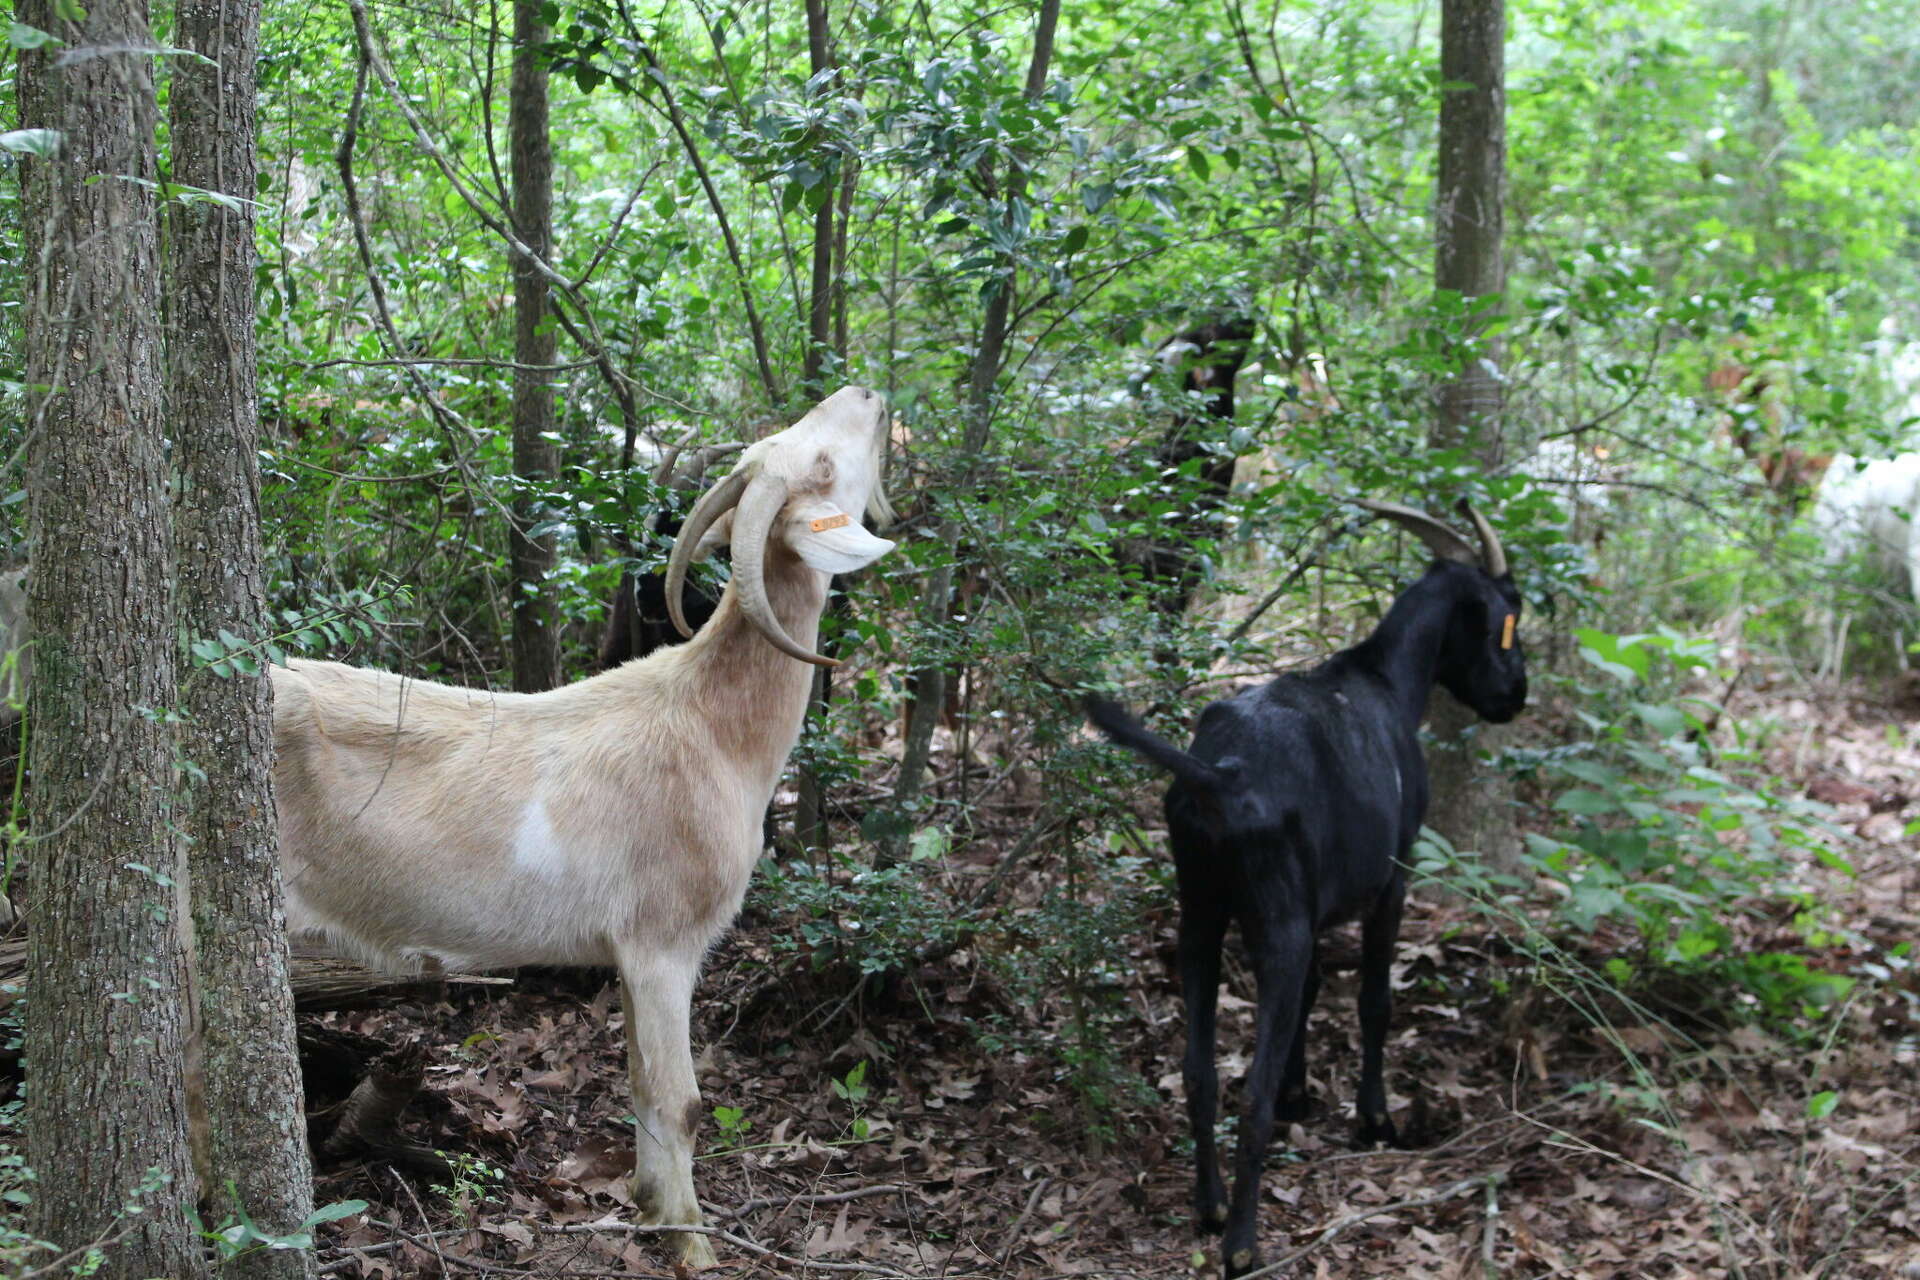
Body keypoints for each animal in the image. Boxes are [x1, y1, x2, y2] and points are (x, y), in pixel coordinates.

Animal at [272, 386, 895, 1268]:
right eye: (820, 467)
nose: (866, 395)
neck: (708, 726)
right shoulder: (665, 944)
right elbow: (680, 1101)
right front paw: (694, 1250)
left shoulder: (629, 958)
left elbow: (640, 1088)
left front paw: (649, 1207)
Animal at [1084, 500, 1526, 1278]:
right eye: (1512, 610)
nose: (1518, 693)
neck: (1385, 679)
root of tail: (1224, 773)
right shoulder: (1393, 878)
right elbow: (1375, 1000)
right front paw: (1375, 1117)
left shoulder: (1313, 905)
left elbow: (1316, 989)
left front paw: (1300, 1089)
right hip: (1276, 918)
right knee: (1247, 1090)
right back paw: (1242, 1241)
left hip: (1201, 911)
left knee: (1199, 1071)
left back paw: (1211, 1206)